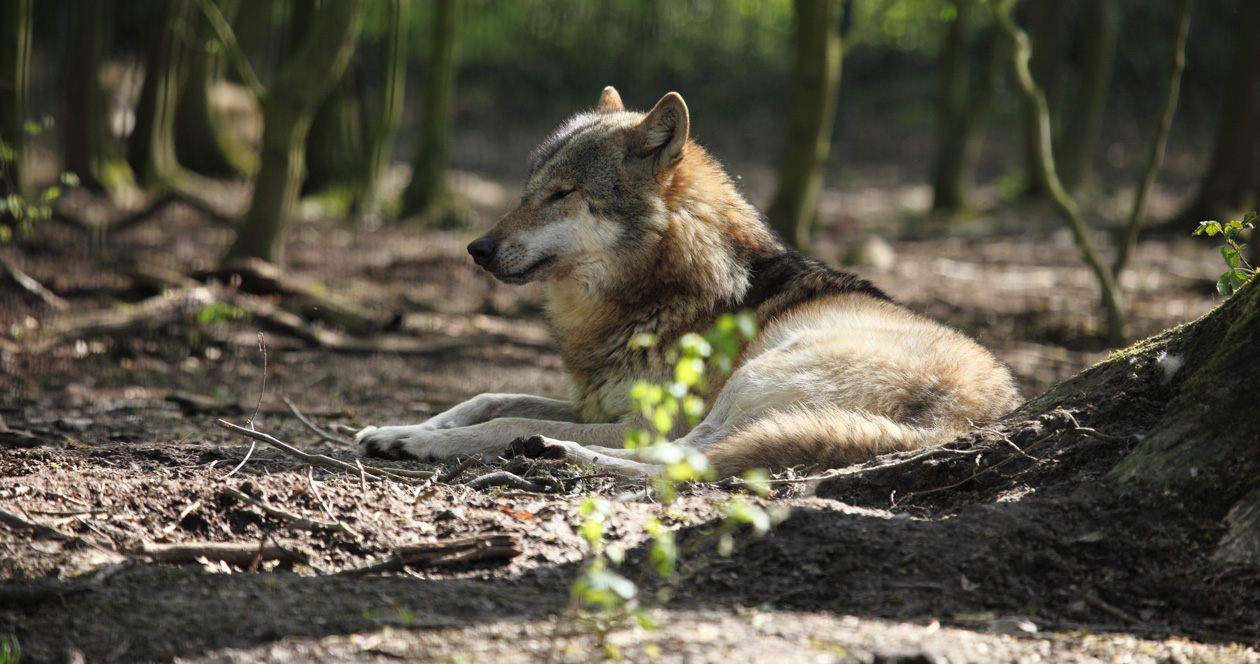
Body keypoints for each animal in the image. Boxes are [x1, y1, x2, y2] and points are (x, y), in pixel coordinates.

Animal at [357, 87, 1020, 478]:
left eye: (563, 194)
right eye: (526, 193)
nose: (477, 249)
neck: (662, 292)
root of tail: (977, 415)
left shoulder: (649, 417)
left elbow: (506, 419)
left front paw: (422, 442)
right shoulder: (597, 400)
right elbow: (488, 397)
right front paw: (395, 430)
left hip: (756, 376)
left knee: (686, 462)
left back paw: (559, 452)